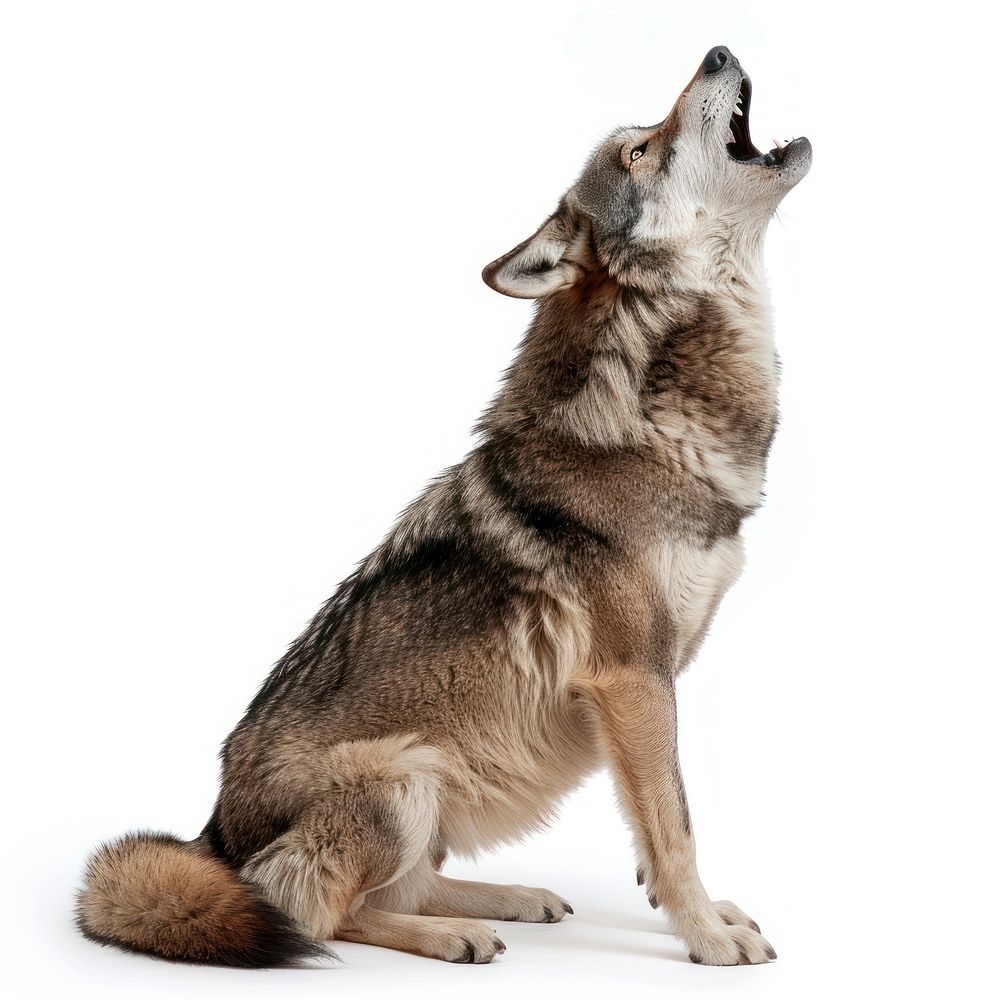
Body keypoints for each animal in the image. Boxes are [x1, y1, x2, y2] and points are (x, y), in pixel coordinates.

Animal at [77, 45, 810, 968]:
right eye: (639, 149)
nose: (717, 51)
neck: (657, 404)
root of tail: (210, 834)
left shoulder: (654, 679)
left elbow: (655, 826)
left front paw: (702, 915)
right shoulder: (633, 676)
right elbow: (675, 822)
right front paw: (708, 940)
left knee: (399, 882)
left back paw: (508, 899)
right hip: (407, 775)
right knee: (310, 911)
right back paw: (455, 932)